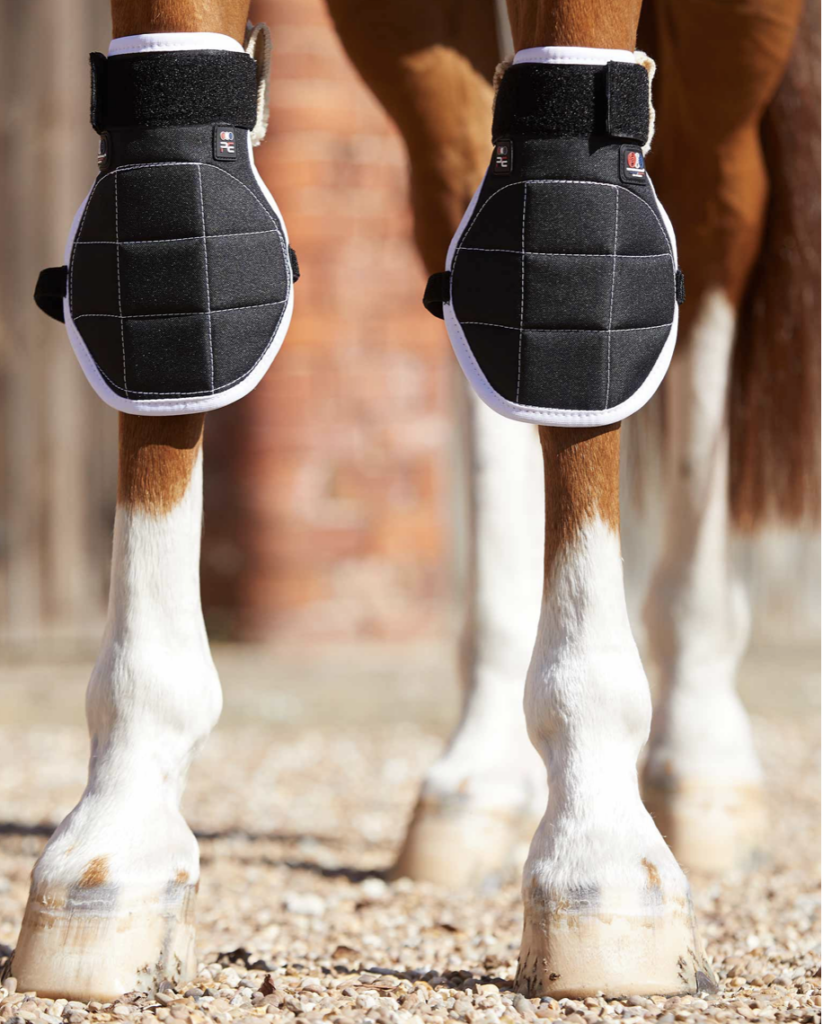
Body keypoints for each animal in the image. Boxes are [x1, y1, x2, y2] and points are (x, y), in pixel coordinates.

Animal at [8, 0, 819, 1004]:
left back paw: (700, 757)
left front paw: (599, 861)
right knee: (460, 211)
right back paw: (481, 773)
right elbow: (167, 194)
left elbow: (578, 210)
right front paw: (116, 845)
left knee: (712, 229)